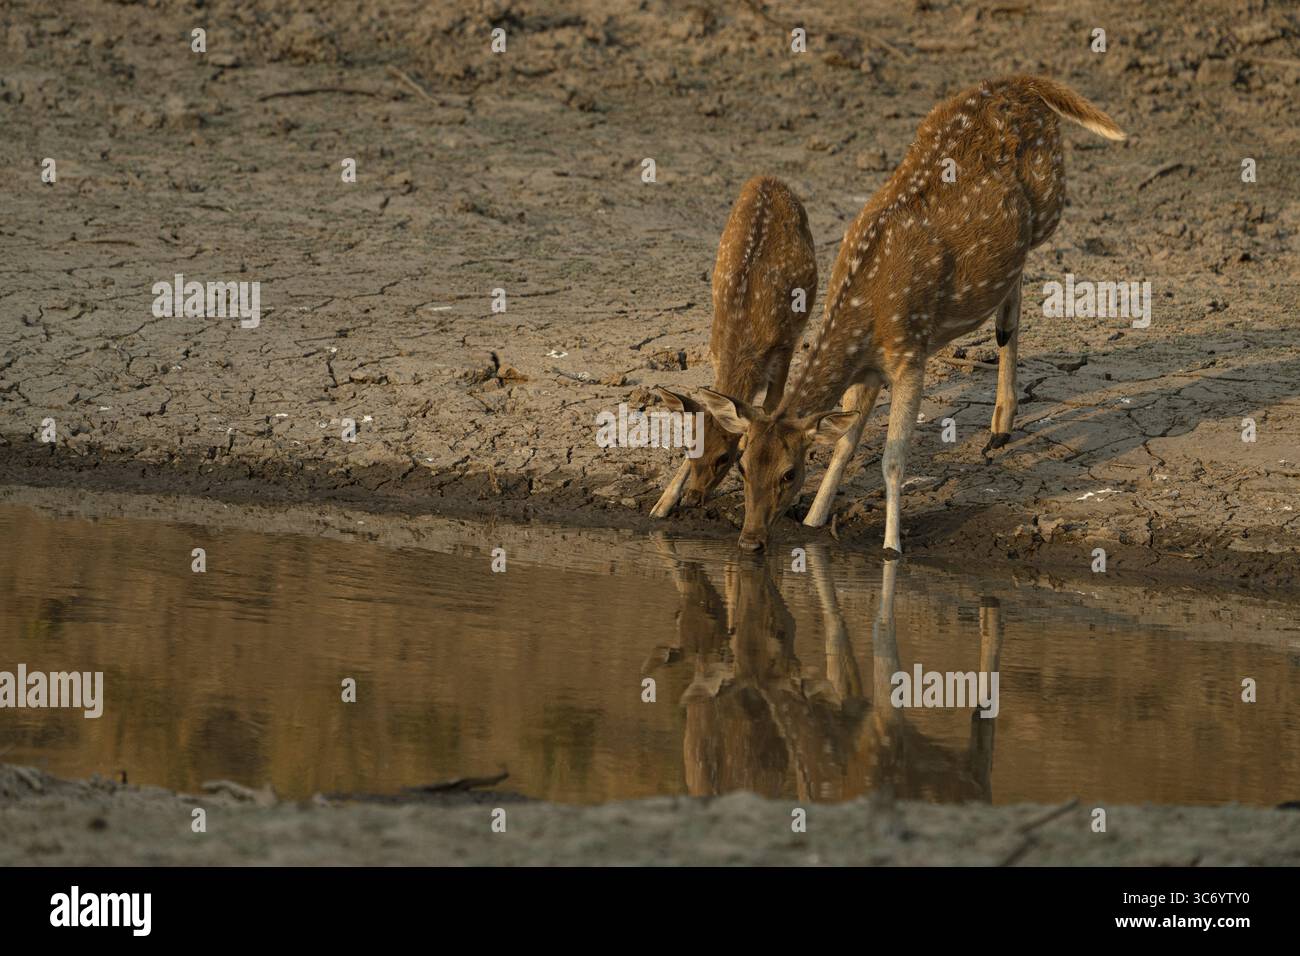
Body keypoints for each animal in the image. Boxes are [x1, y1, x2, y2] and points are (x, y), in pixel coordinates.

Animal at [651, 175, 817, 518]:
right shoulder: (715, 348)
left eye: (724, 457)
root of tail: (769, 178)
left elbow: (769, 407)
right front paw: (662, 504)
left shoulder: (783, 346)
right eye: (688, 448)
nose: (693, 498)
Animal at [690, 76, 1126, 554]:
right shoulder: (867, 371)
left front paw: (891, 547)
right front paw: (813, 520)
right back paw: (1000, 414)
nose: (750, 540)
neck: (865, 316)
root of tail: (1022, 82)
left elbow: (894, 460)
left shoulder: (910, 353)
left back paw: (1001, 415)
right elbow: (844, 443)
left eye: (789, 472)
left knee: (1022, 273)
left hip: (1051, 203)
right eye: (743, 463)